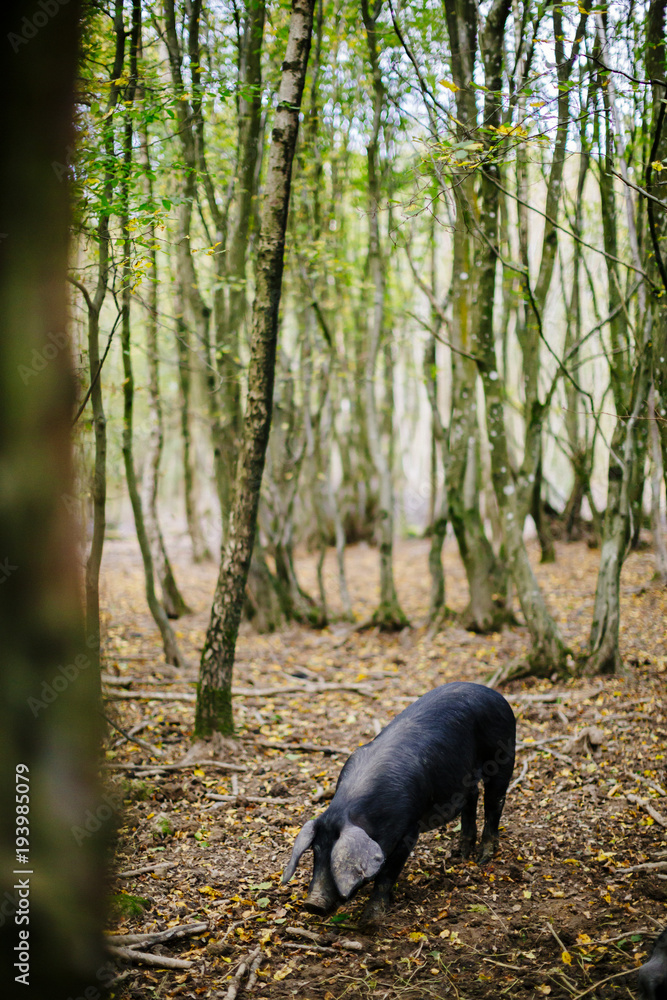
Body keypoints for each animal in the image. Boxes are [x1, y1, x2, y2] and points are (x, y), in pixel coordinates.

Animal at [282, 681, 515, 924]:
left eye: (335, 858)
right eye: (316, 852)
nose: (313, 904)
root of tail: (493, 693)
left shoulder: (409, 829)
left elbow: (388, 873)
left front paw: (370, 918)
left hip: (503, 752)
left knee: (495, 802)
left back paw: (483, 858)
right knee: (472, 796)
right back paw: (461, 855)